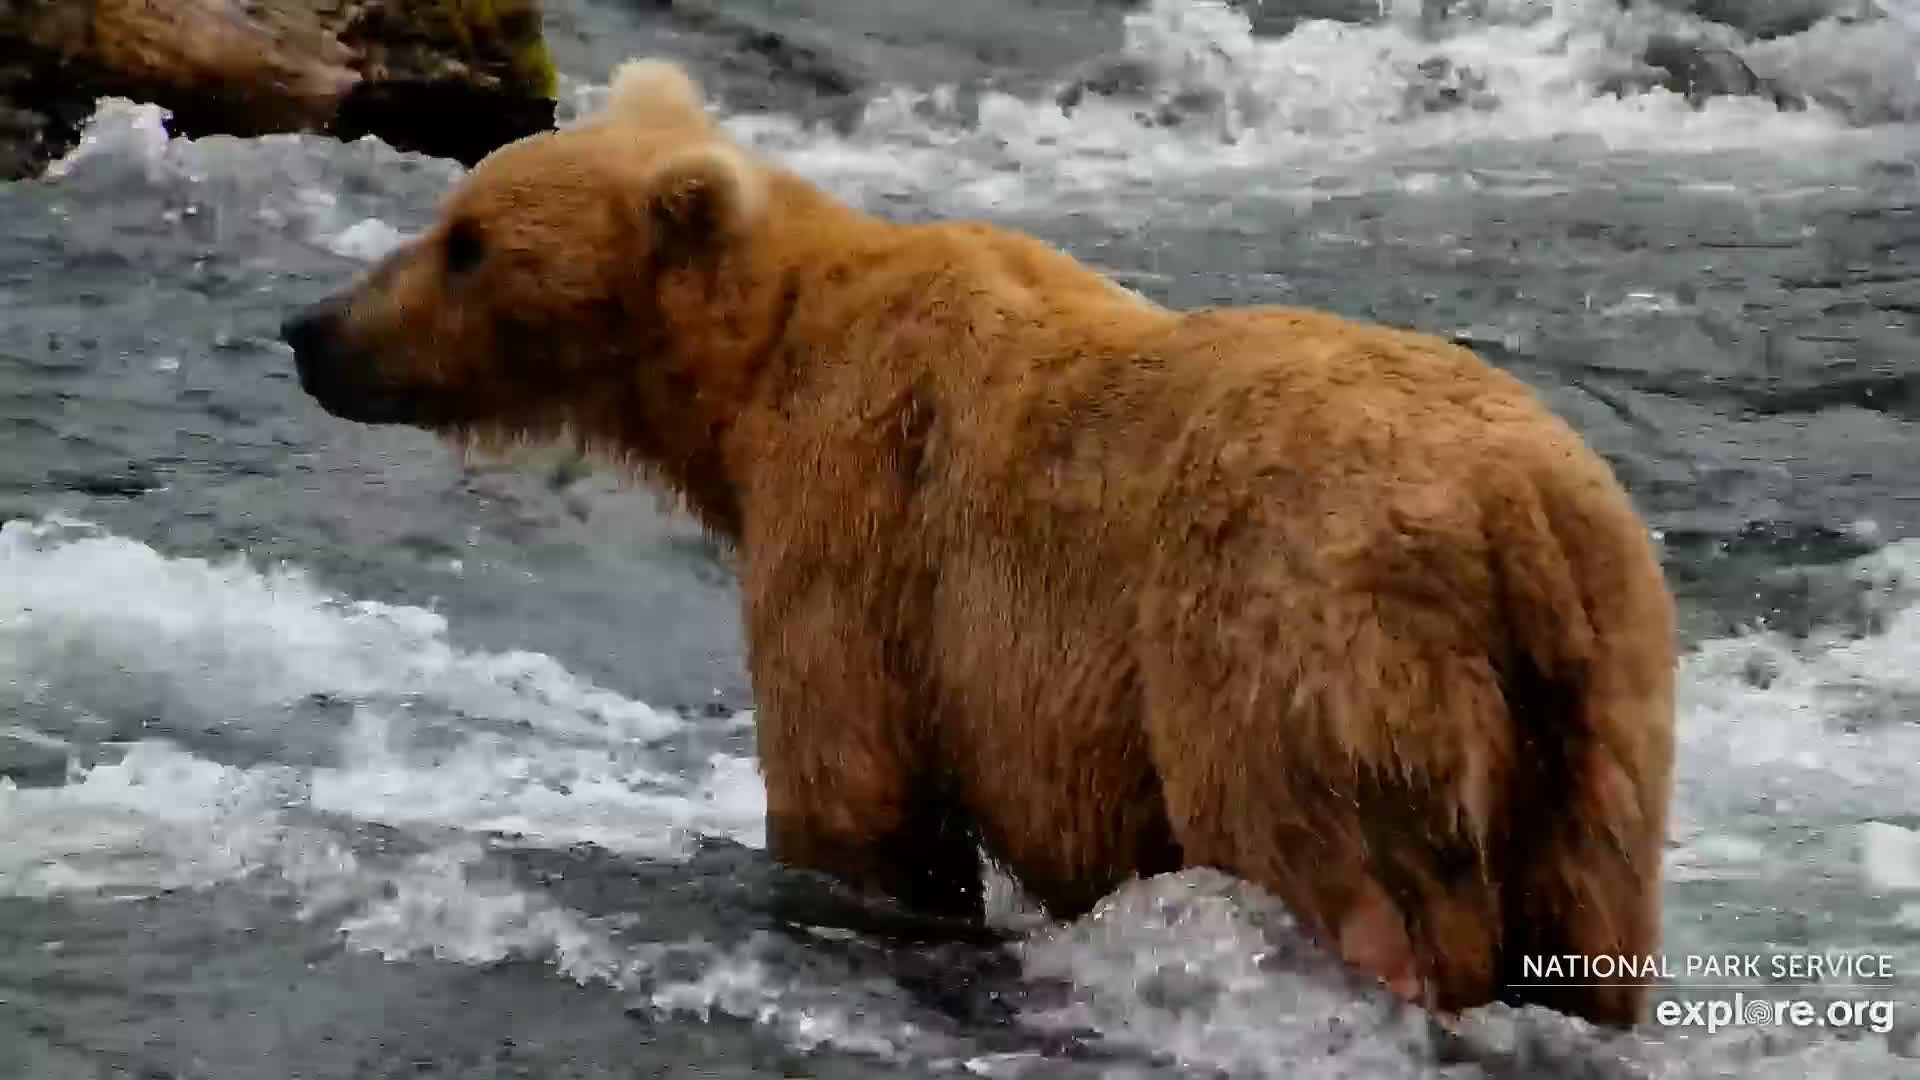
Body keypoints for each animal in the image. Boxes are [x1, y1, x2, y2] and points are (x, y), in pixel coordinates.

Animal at [280, 55, 1678, 1029]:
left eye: (467, 241)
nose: (313, 328)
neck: (749, 391)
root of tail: (1514, 512)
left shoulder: (858, 529)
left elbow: (851, 788)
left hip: (1301, 651)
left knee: (1338, 876)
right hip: (1598, 707)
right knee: (1591, 931)